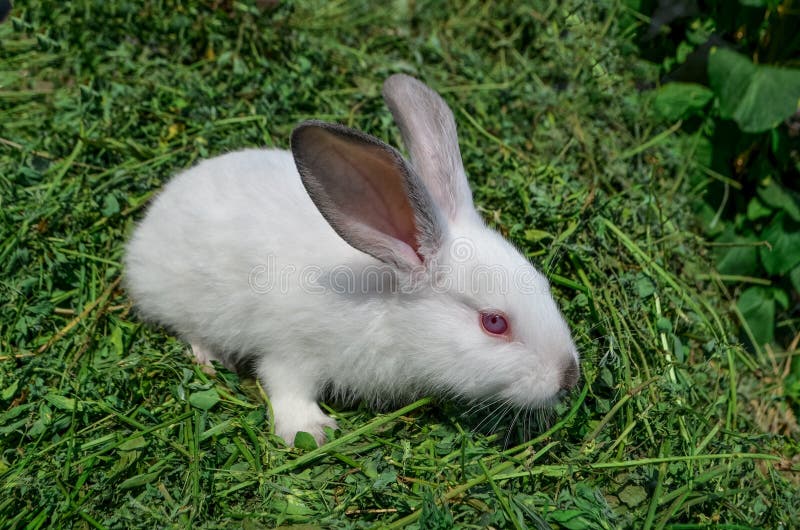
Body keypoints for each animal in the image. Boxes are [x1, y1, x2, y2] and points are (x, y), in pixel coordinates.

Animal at [124, 74, 580, 446]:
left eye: (542, 283)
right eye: (494, 323)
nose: (569, 377)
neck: (387, 305)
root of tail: (149, 224)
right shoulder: (292, 349)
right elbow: (286, 386)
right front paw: (312, 431)